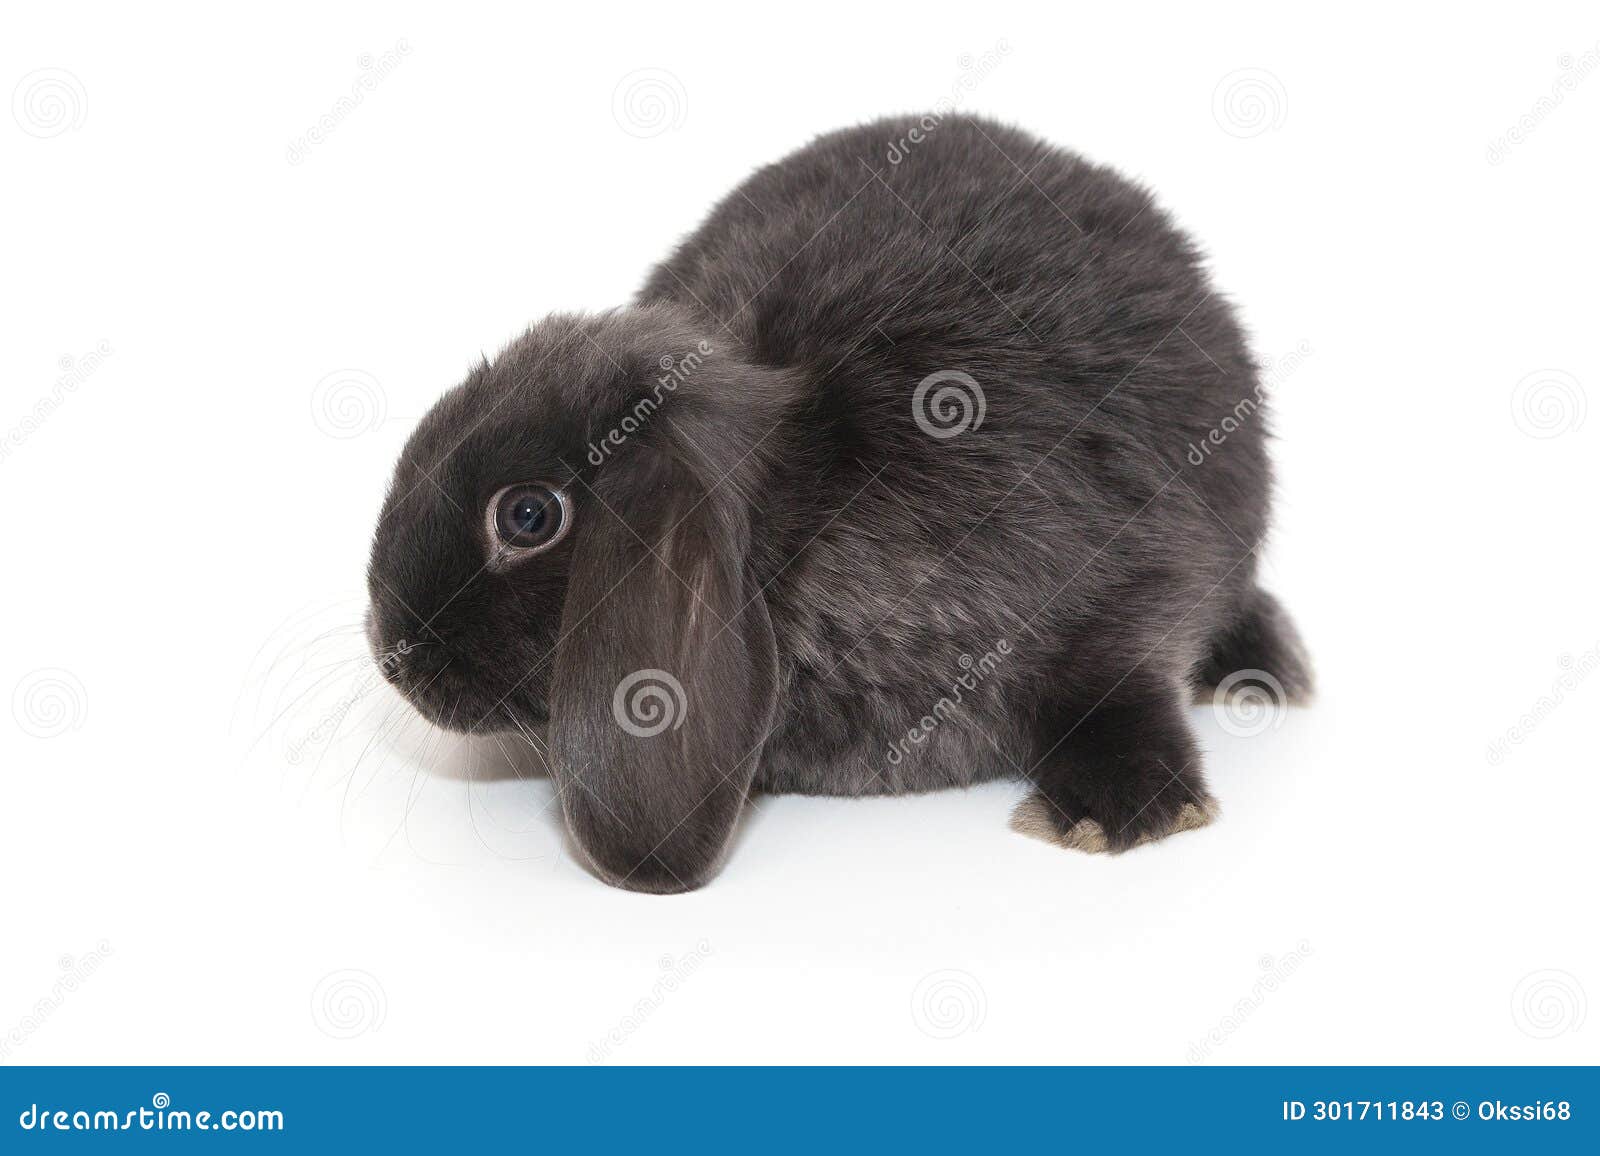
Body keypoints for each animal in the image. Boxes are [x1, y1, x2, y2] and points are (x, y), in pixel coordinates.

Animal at [365, 113, 1312, 893]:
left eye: (527, 516)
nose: (394, 655)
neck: (809, 503)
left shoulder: (1131, 575)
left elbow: (1125, 671)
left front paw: (1124, 812)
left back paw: (1265, 668)